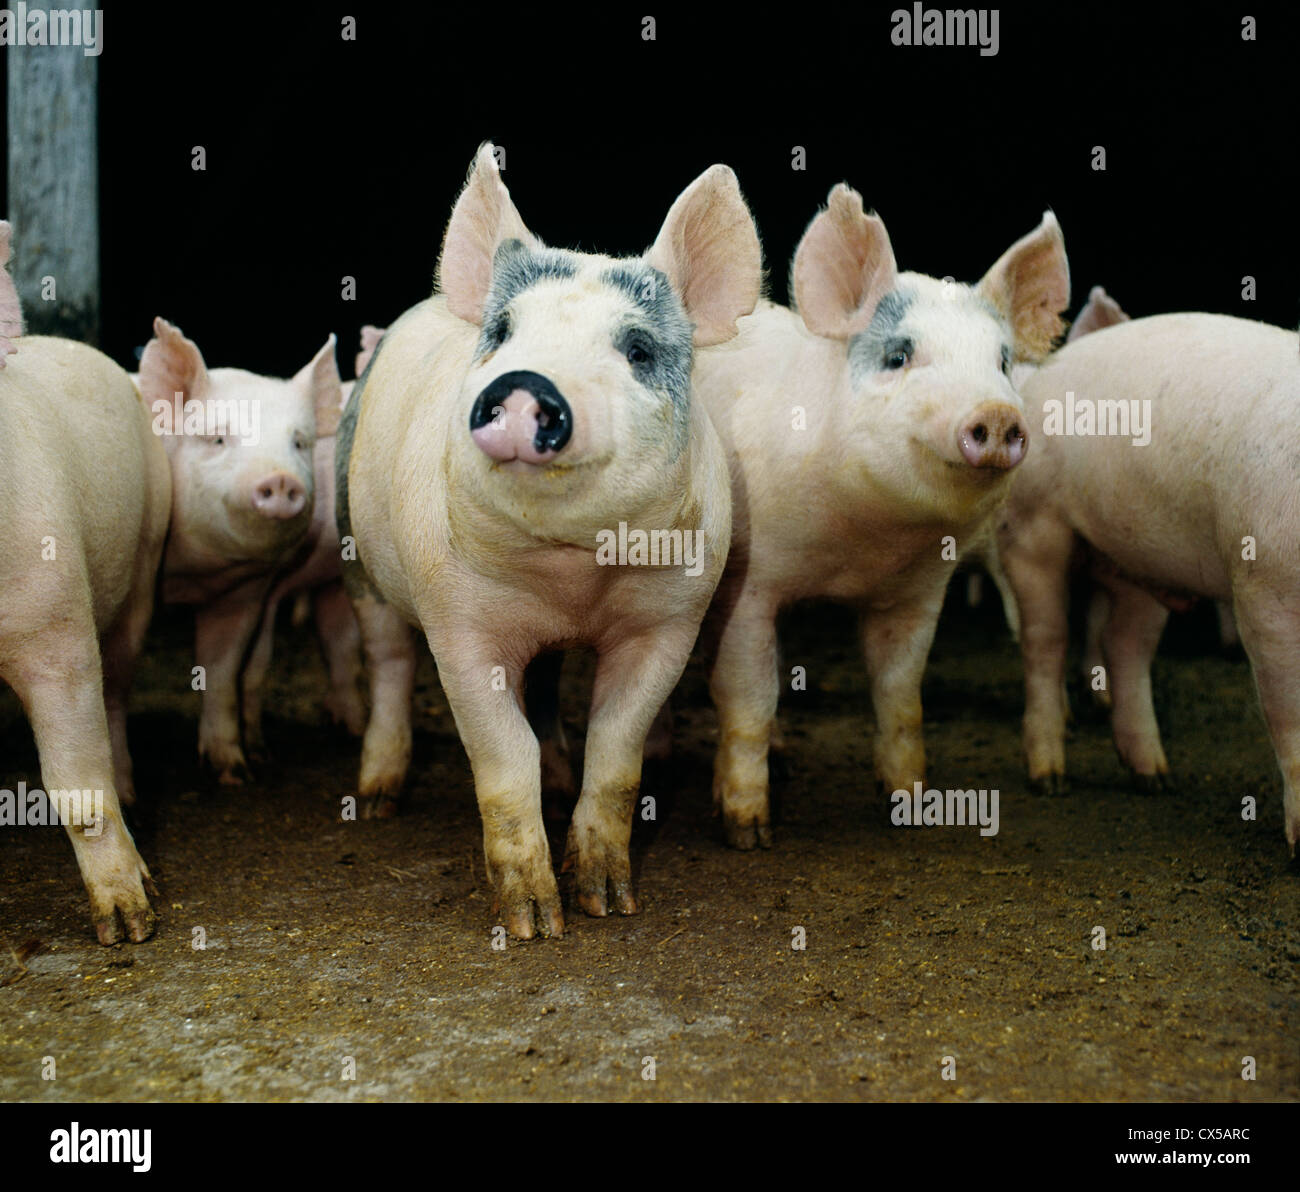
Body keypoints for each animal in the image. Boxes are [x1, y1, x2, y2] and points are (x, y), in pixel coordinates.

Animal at [137, 319, 343, 783]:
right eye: (217, 439)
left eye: (299, 443)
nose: (281, 480)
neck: (193, 574)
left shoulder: (245, 593)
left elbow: (222, 672)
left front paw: (234, 774)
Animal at [338, 144, 760, 938]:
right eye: (503, 332)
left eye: (638, 348)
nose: (525, 383)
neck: (570, 577)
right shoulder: (458, 623)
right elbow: (503, 756)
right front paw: (535, 925)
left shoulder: (670, 621)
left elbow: (617, 749)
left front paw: (607, 903)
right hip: (357, 554)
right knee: (388, 662)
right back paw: (377, 800)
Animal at [694, 184, 1069, 848]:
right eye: (899, 355)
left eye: (1002, 362)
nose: (998, 414)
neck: (860, 552)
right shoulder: (749, 580)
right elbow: (749, 696)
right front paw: (750, 834)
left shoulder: (918, 592)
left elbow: (901, 692)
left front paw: (912, 806)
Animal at [999, 310, 1300, 853]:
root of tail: (1042, 374)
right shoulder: (1266, 588)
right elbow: (1288, 715)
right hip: (1033, 526)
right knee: (1045, 641)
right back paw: (1050, 779)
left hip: (1144, 557)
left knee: (1126, 644)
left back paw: (1155, 778)